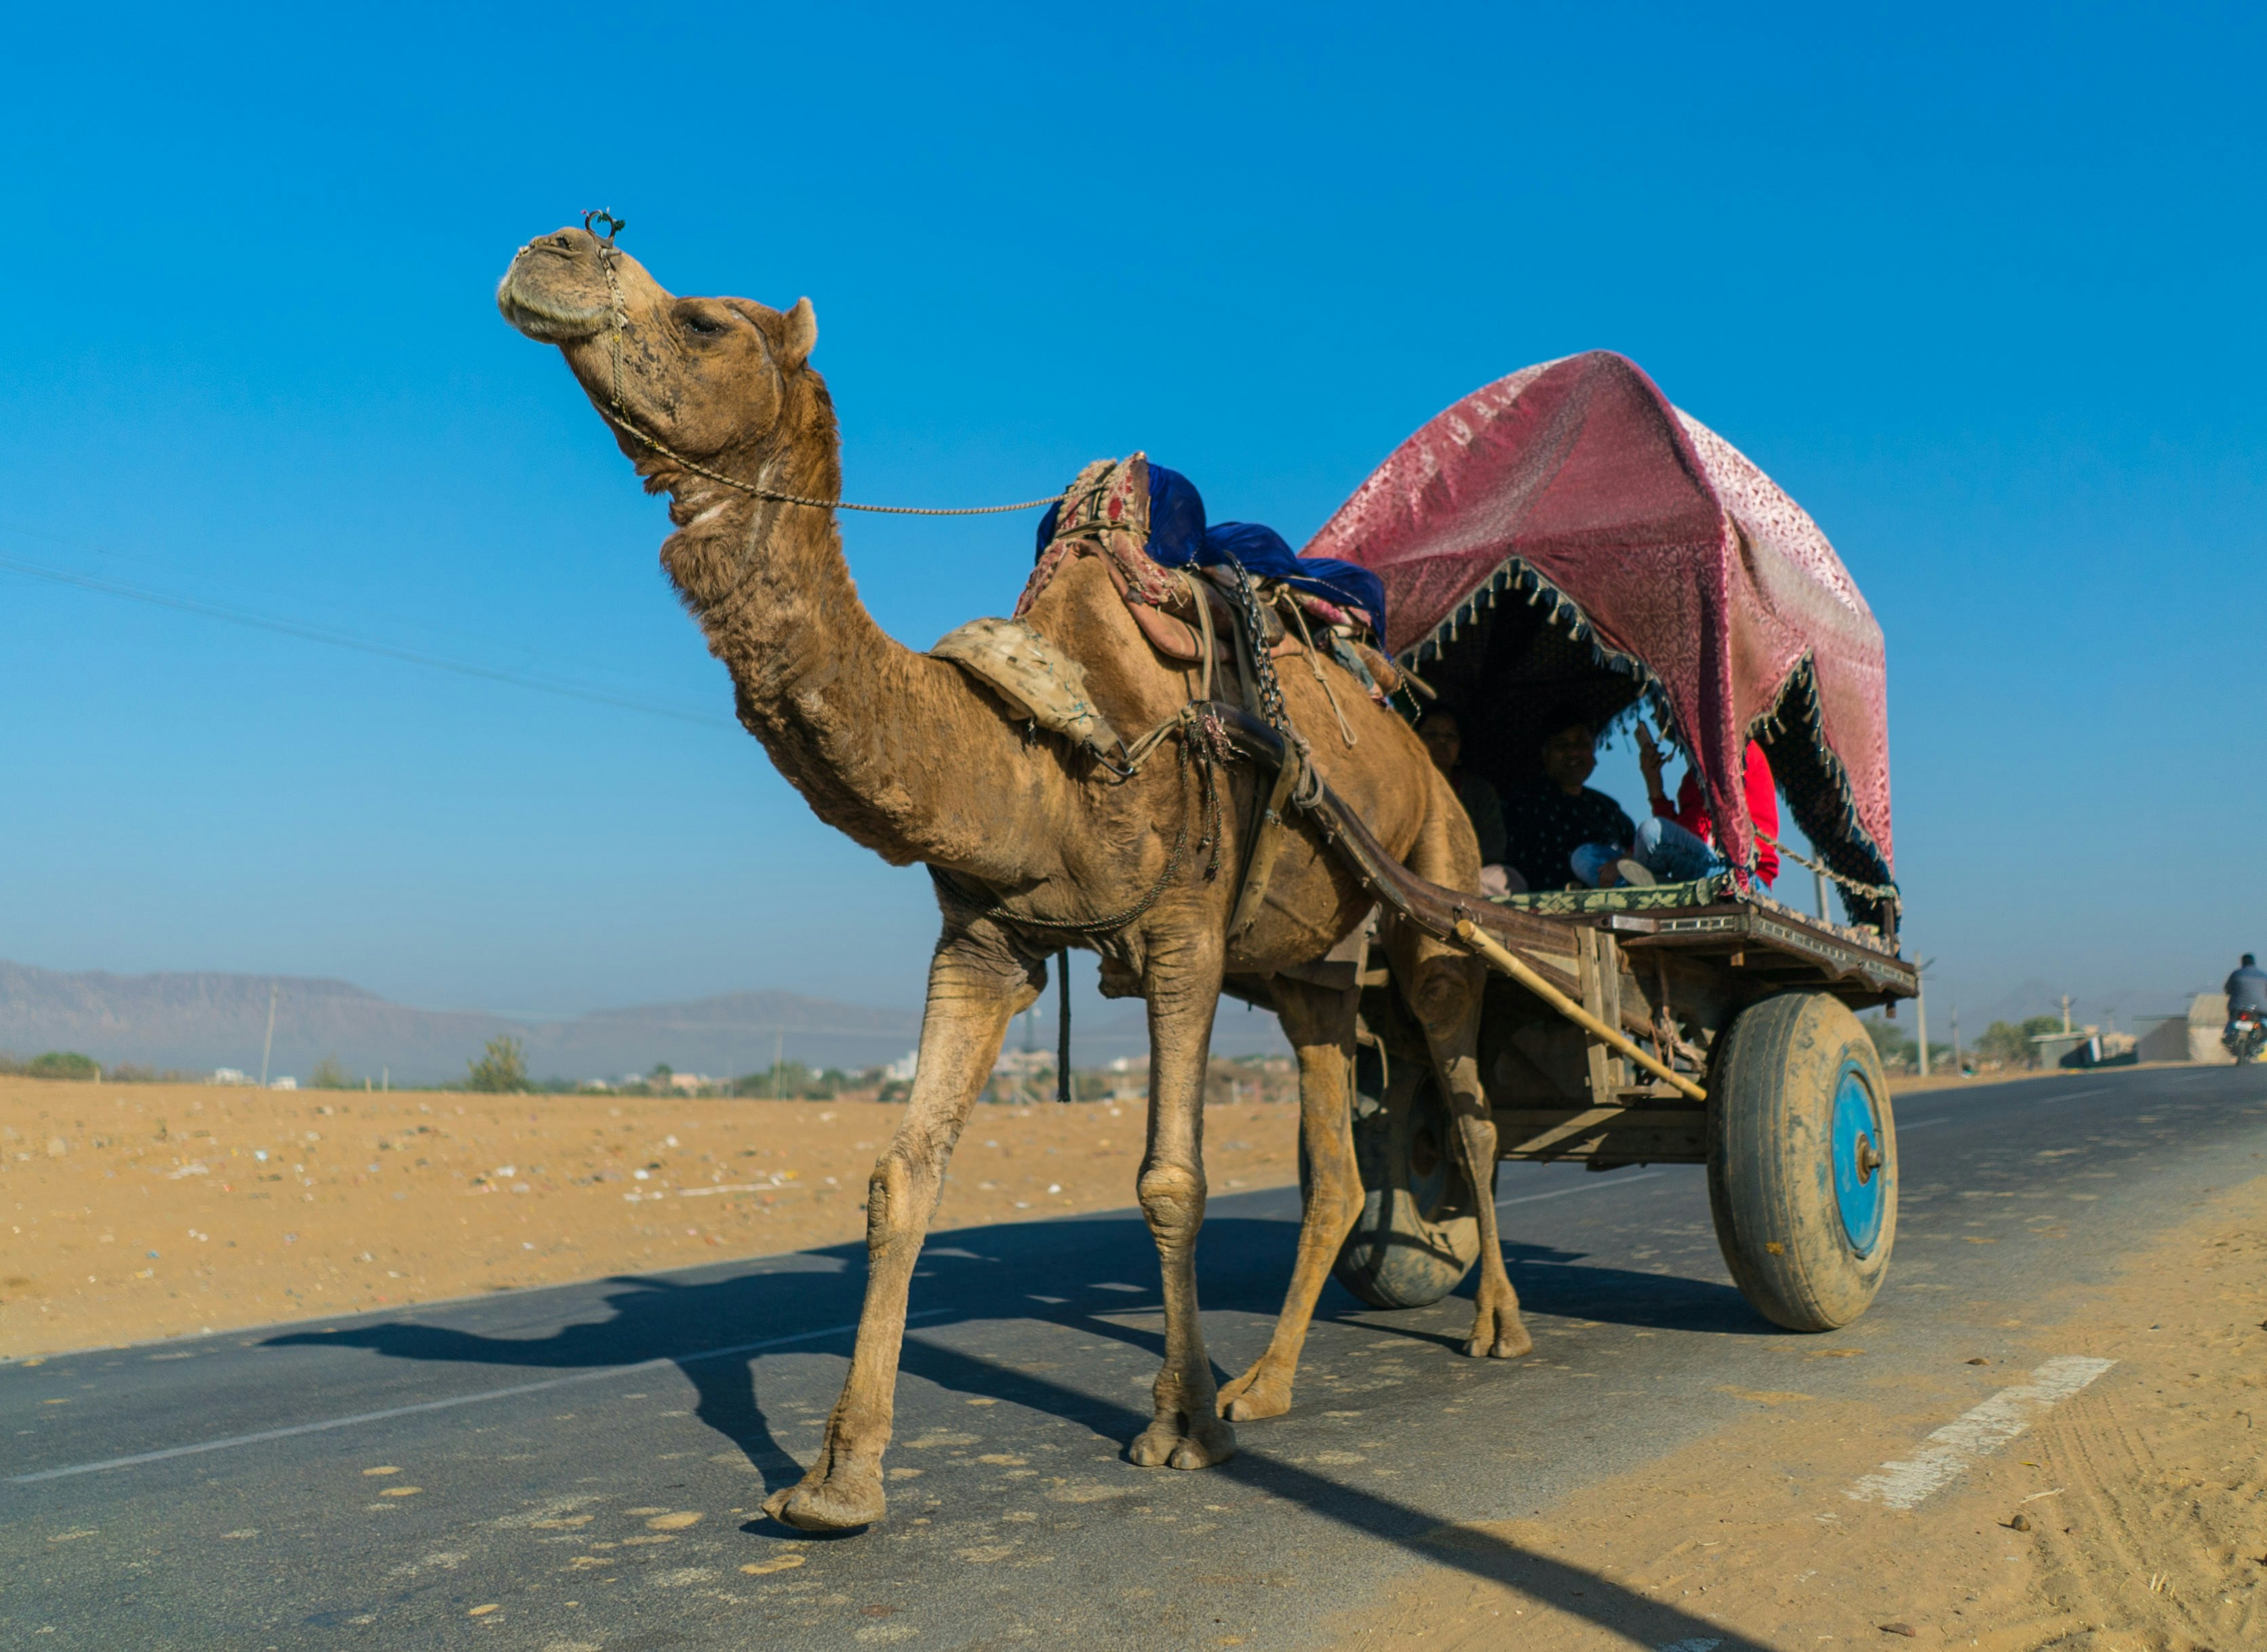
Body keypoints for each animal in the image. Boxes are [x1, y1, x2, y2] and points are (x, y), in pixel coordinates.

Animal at [496, 224, 1533, 1533]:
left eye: (702, 320)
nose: (551, 247)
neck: (1049, 740)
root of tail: (1416, 743)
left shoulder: (1184, 934)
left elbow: (1171, 1180)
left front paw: (1176, 1430)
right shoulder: (984, 941)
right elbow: (900, 1175)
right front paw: (838, 1480)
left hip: (1433, 894)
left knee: (1470, 1098)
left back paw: (1495, 1329)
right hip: (1314, 970)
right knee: (1337, 1161)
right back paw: (1265, 1385)